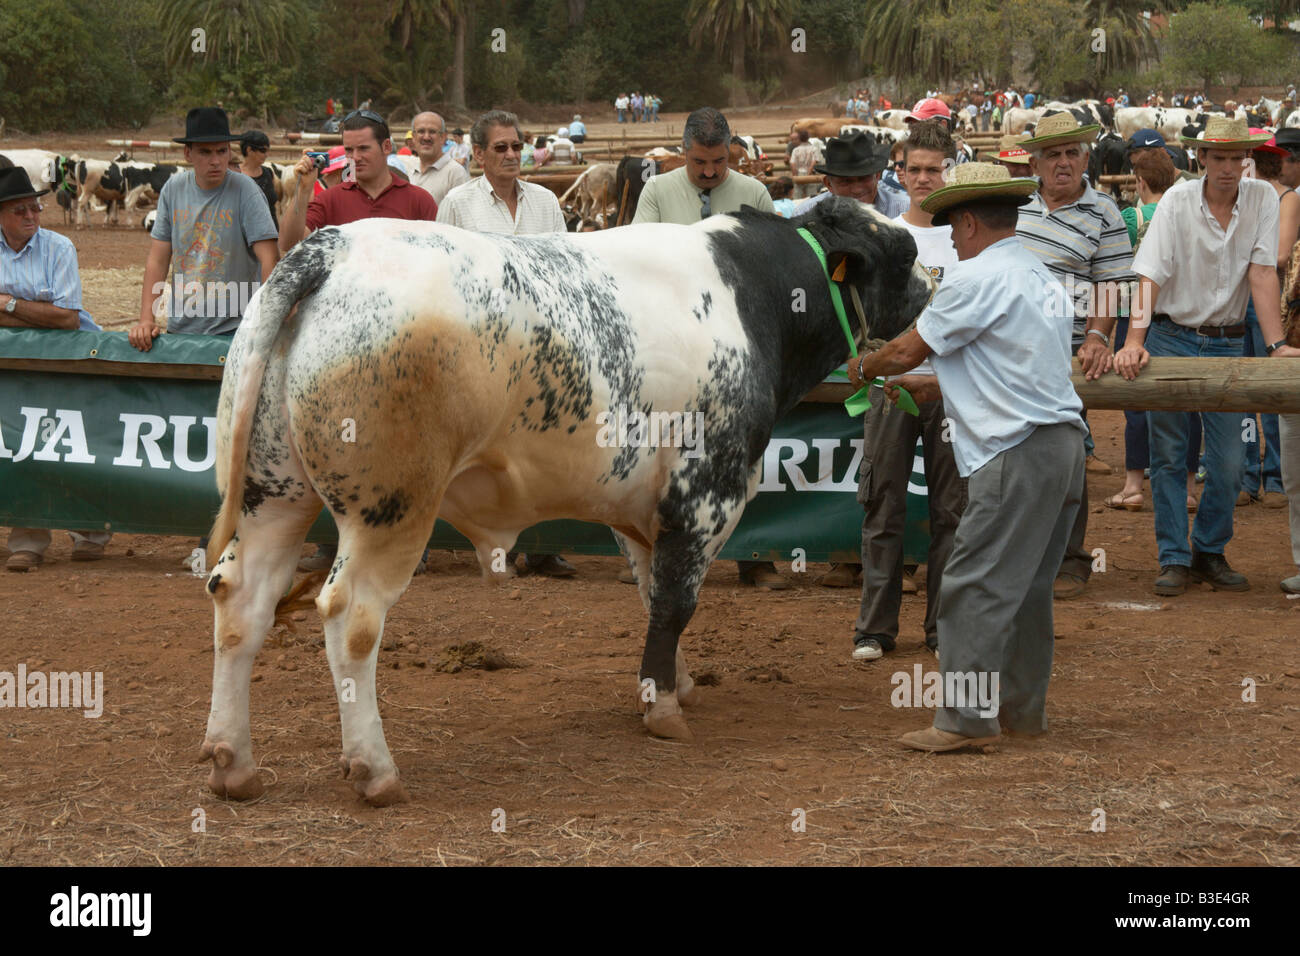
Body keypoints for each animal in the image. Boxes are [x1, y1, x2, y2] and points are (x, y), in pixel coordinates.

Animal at [196, 199, 934, 804]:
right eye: (901, 253)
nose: (934, 282)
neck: (754, 300)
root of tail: (334, 247)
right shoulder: (705, 495)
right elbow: (677, 600)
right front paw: (664, 709)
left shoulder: (645, 513)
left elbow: (654, 597)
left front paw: (670, 683)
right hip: (390, 509)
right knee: (350, 617)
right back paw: (374, 770)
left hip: (275, 494)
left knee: (240, 600)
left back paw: (234, 763)